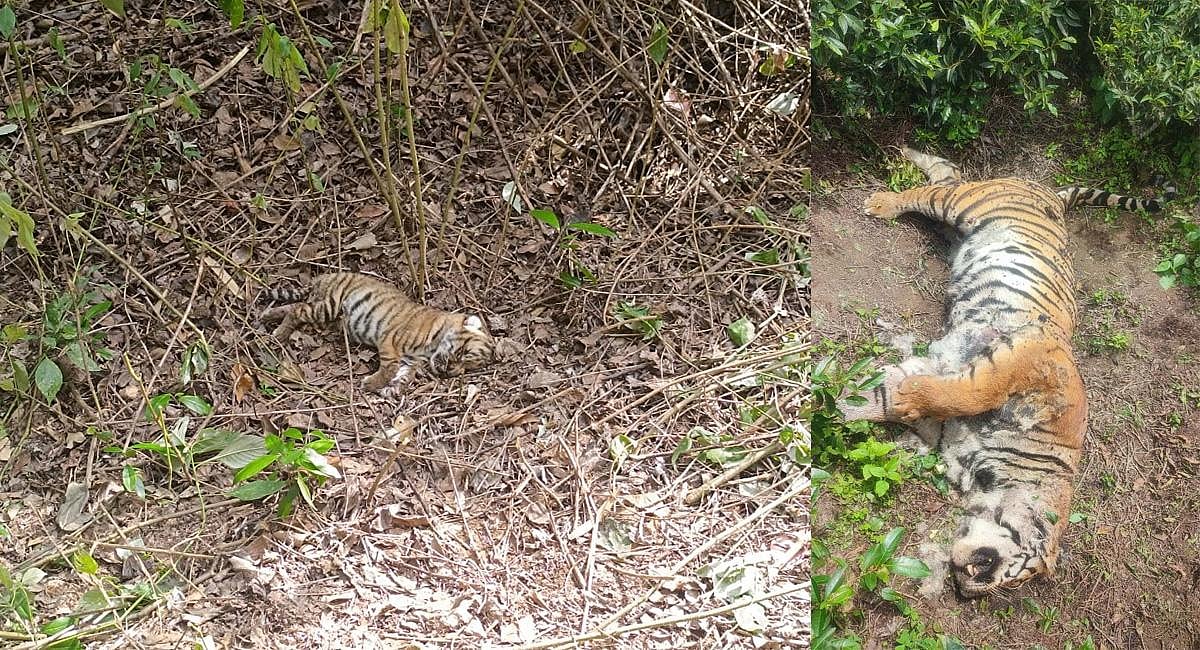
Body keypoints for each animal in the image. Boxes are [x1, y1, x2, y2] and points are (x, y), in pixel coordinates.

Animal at [259, 272, 496, 397]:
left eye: (466, 369)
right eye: (462, 353)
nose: (448, 371)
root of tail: (327, 275)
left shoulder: (411, 361)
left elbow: (404, 376)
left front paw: (392, 390)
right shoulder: (390, 341)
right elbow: (390, 368)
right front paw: (371, 384)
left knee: (293, 306)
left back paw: (267, 316)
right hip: (330, 305)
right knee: (297, 309)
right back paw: (279, 333)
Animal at [839, 147, 1172, 597]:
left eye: (1006, 585)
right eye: (1016, 571)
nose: (968, 585)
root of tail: (1049, 193)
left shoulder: (945, 416)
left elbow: (883, 396)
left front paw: (843, 403)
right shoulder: (1032, 364)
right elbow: (971, 391)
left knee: (946, 172)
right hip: (966, 205)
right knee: (935, 187)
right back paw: (882, 199)